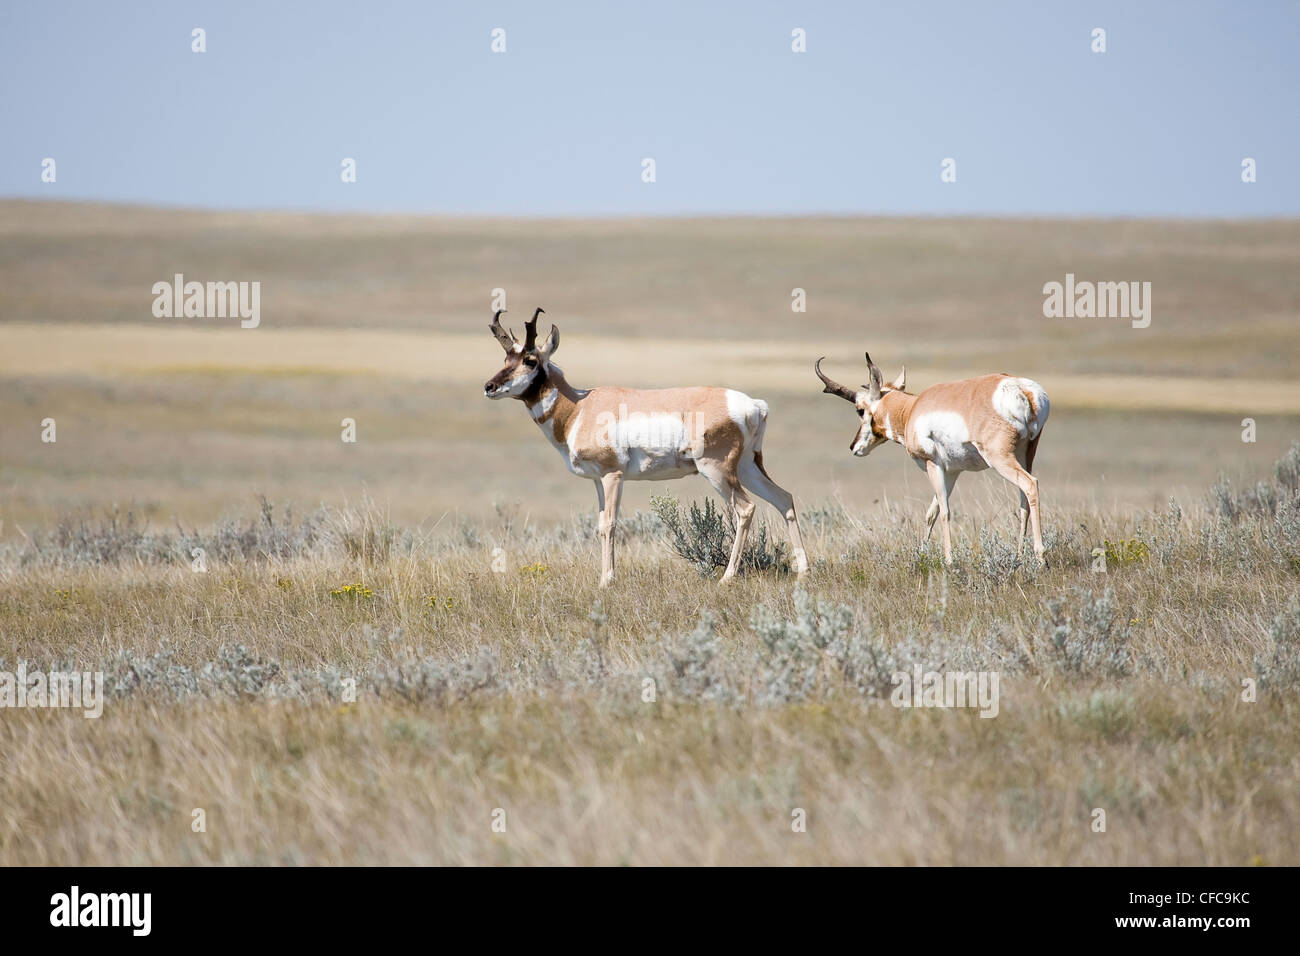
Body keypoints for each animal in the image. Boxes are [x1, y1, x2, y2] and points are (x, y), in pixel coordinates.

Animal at [484, 308, 810, 586]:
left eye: (530, 360)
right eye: (505, 360)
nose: (489, 387)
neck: (579, 408)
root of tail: (753, 405)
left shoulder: (613, 475)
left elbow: (610, 524)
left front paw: (607, 581)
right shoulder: (598, 480)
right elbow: (600, 524)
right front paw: (605, 577)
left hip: (717, 471)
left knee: (746, 509)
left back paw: (727, 578)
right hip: (747, 467)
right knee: (784, 498)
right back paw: (804, 571)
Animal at [814, 352, 1050, 565]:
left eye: (860, 410)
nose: (854, 447)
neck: (912, 409)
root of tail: (1023, 389)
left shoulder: (932, 464)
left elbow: (944, 511)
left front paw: (948, 560)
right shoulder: (952, 471)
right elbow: (932, 512)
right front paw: (922, 553)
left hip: (1000, 459)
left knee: (1030, 485)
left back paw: (1040, 558)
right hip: (1025, 455)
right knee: (1023, 502)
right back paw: (1018, 558)